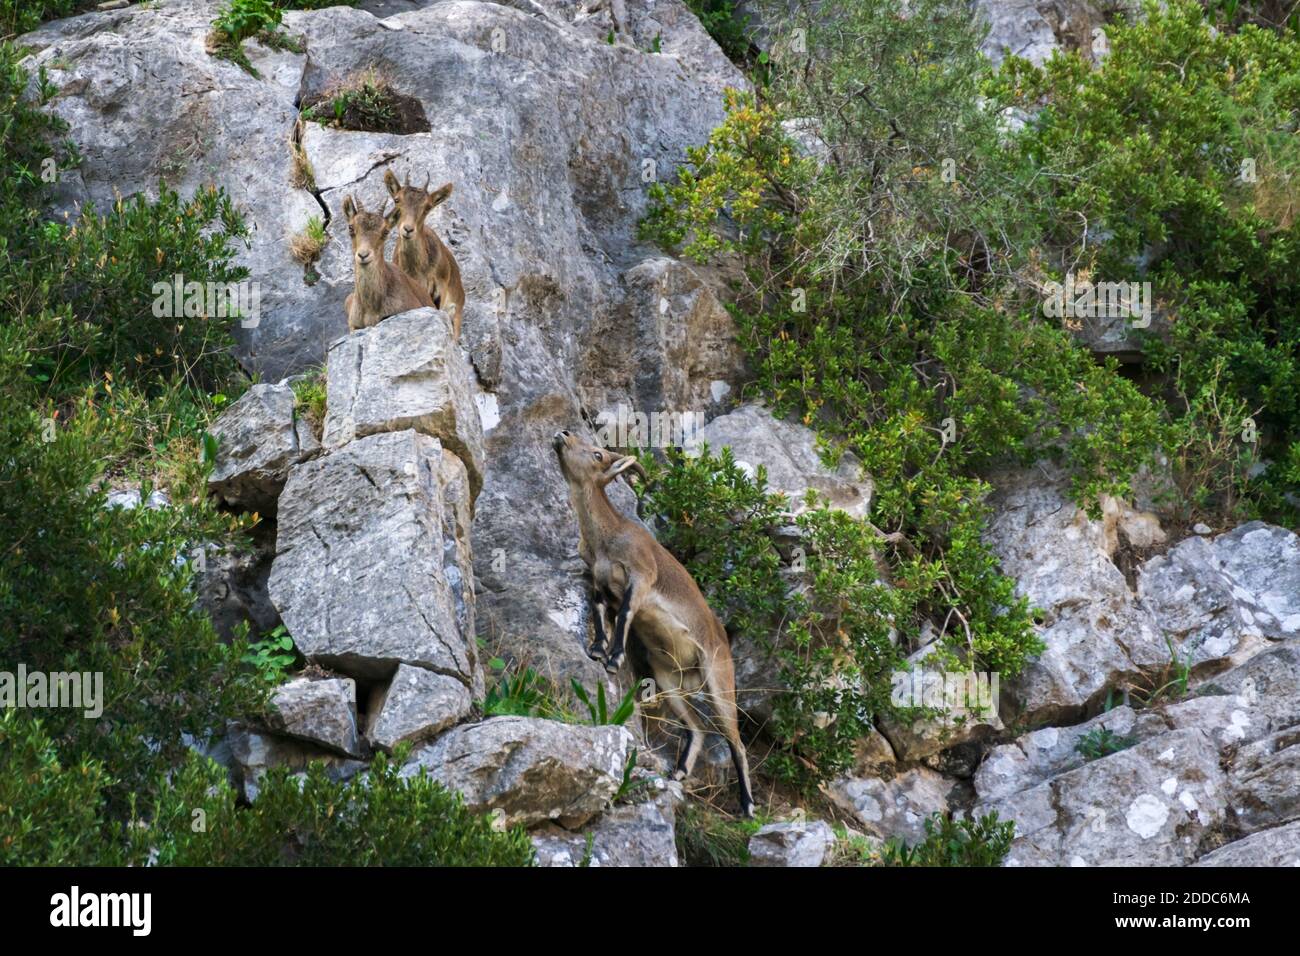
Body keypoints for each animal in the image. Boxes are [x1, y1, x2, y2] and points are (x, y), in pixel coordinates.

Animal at [384, 169, 465, 341]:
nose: (408, 229)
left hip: (456, 312)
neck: (417, 269)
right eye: (397, 200)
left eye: (428, 207)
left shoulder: (439, 290)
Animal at [552, 429, 755, 817]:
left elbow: (627, 612)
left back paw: (748, 805)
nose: (563, 434)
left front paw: (614, 659)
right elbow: (600, 612)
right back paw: (679, 772)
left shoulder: (641, 577)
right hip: (668, 680)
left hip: (718, 679)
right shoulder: (599, 583)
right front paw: (598, 649)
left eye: (597, 453)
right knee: (696, 728)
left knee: (735, 740)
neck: (607, 538)